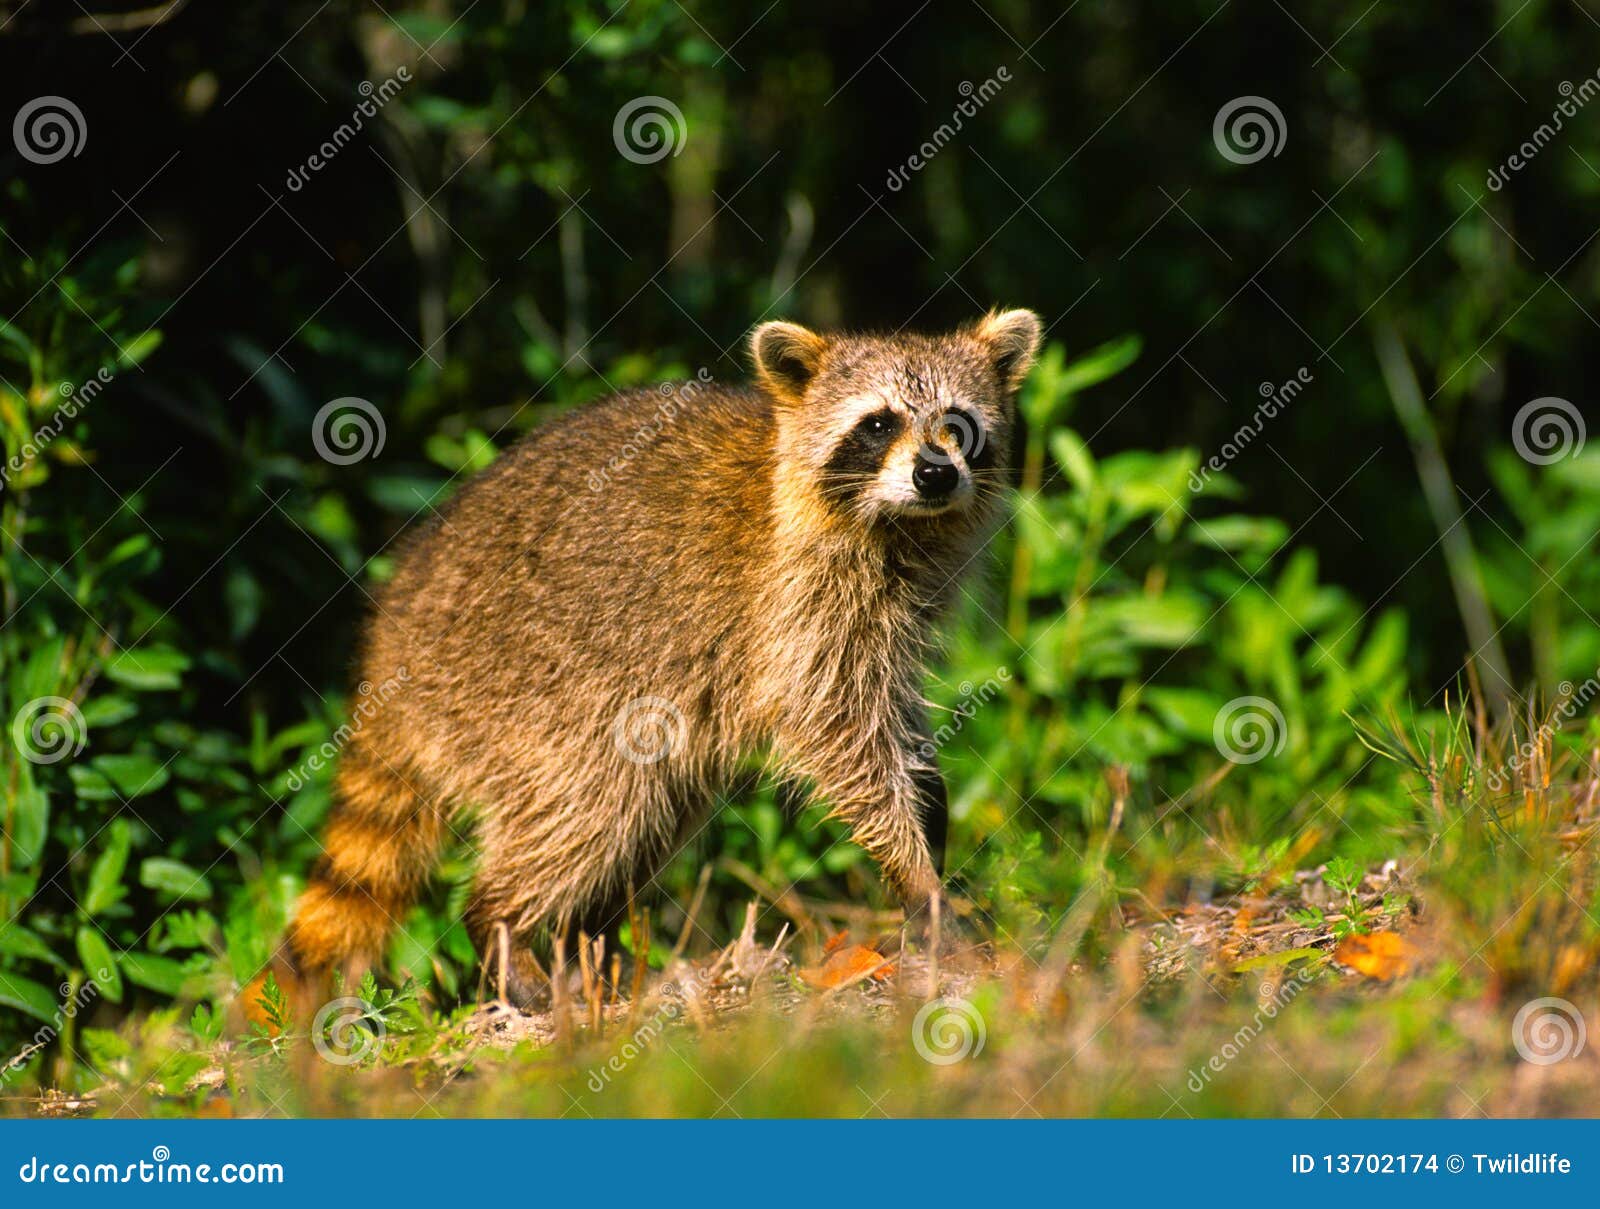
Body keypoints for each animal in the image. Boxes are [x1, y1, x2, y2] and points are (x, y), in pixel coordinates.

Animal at [281, 309, 1041, 1006]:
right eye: (879, 425)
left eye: (958, 423)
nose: (935, 473)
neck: (901, 527)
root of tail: (394, 648)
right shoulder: (795, 602)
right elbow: (838, 731)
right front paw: (912, 871)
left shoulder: (908, 597)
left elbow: (896, 710)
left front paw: (929, 803)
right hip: (531, 692)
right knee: (587, 808)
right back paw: (502, 924)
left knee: (651, 813)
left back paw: (592, 945)